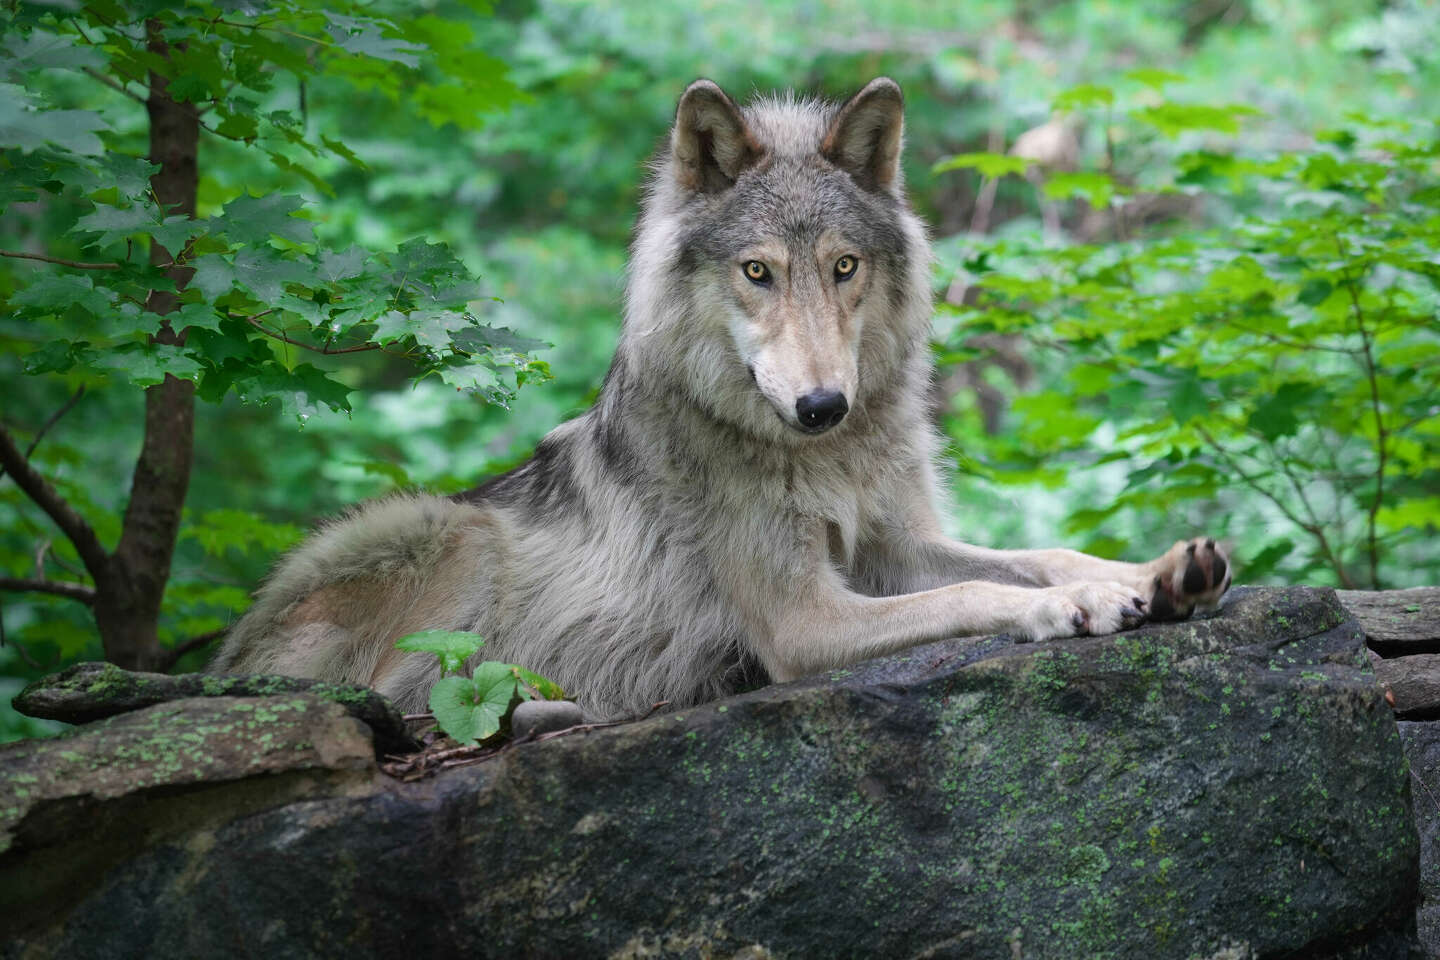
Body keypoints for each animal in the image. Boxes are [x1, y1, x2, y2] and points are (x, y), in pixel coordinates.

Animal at [212, 78, 1231, 719]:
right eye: (758, 273)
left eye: (844, 268)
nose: (823, 405)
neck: (822, 458)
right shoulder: (803, 622)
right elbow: (979, 591)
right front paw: (1075, 608)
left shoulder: (894, 546)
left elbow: (1040, 554)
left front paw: (1151, 576)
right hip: (437, 531)